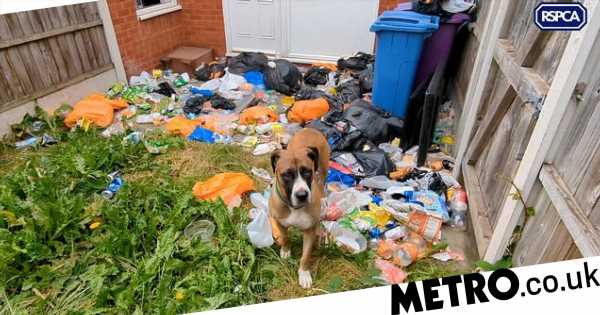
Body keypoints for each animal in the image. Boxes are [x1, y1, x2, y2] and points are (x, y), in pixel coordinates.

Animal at [270, 128, 330, 288]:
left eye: (307, 172)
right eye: (286, 175)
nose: (302, 195)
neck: (294, 208)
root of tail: (310, 128)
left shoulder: (309, 231)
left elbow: (306, 256)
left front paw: (304, 274)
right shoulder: (278, 220)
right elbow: (285, 237)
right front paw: (285, 250)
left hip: (323, 168)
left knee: (322, 182)